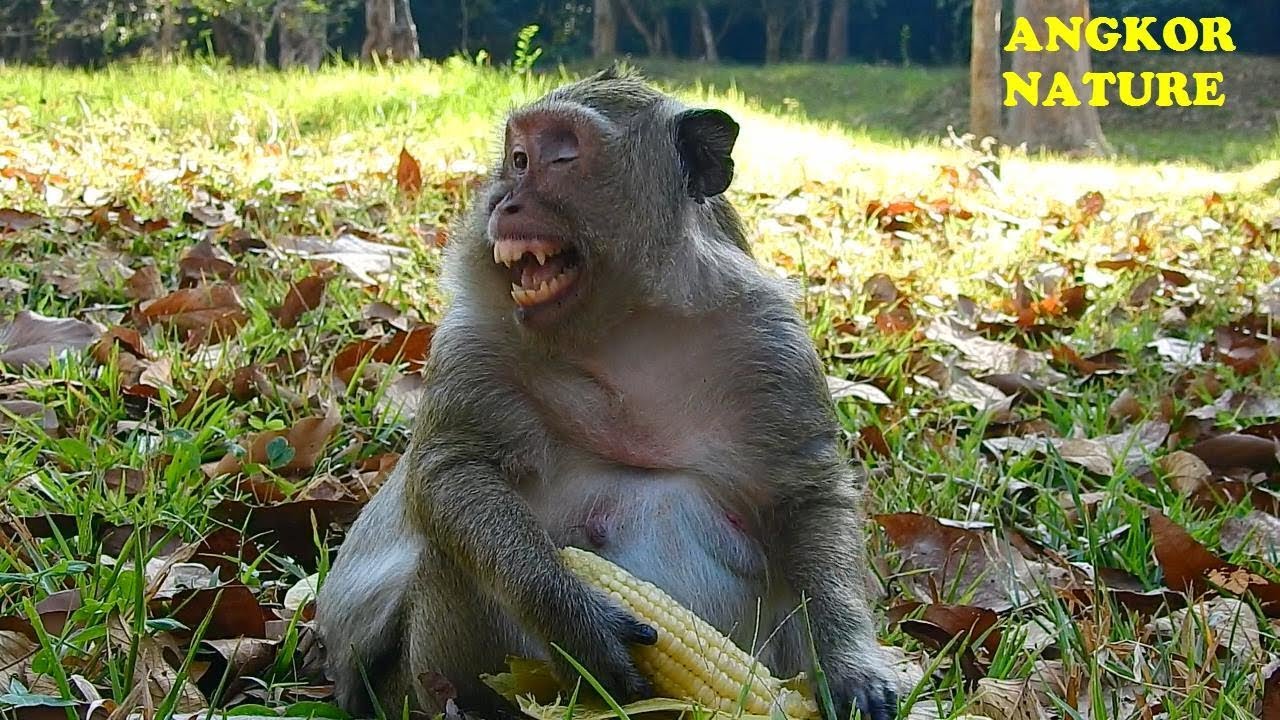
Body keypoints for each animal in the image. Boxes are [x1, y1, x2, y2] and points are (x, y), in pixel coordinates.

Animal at [315, 66, 899, 720]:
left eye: (561, 154)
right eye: (517, 158)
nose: (504, 202)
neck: (625, 329)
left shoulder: (775, 341)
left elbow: (808, 496)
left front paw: (850, 664)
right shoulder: (472, 340)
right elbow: (453, 473)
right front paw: (574, 620)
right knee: (451, 557)